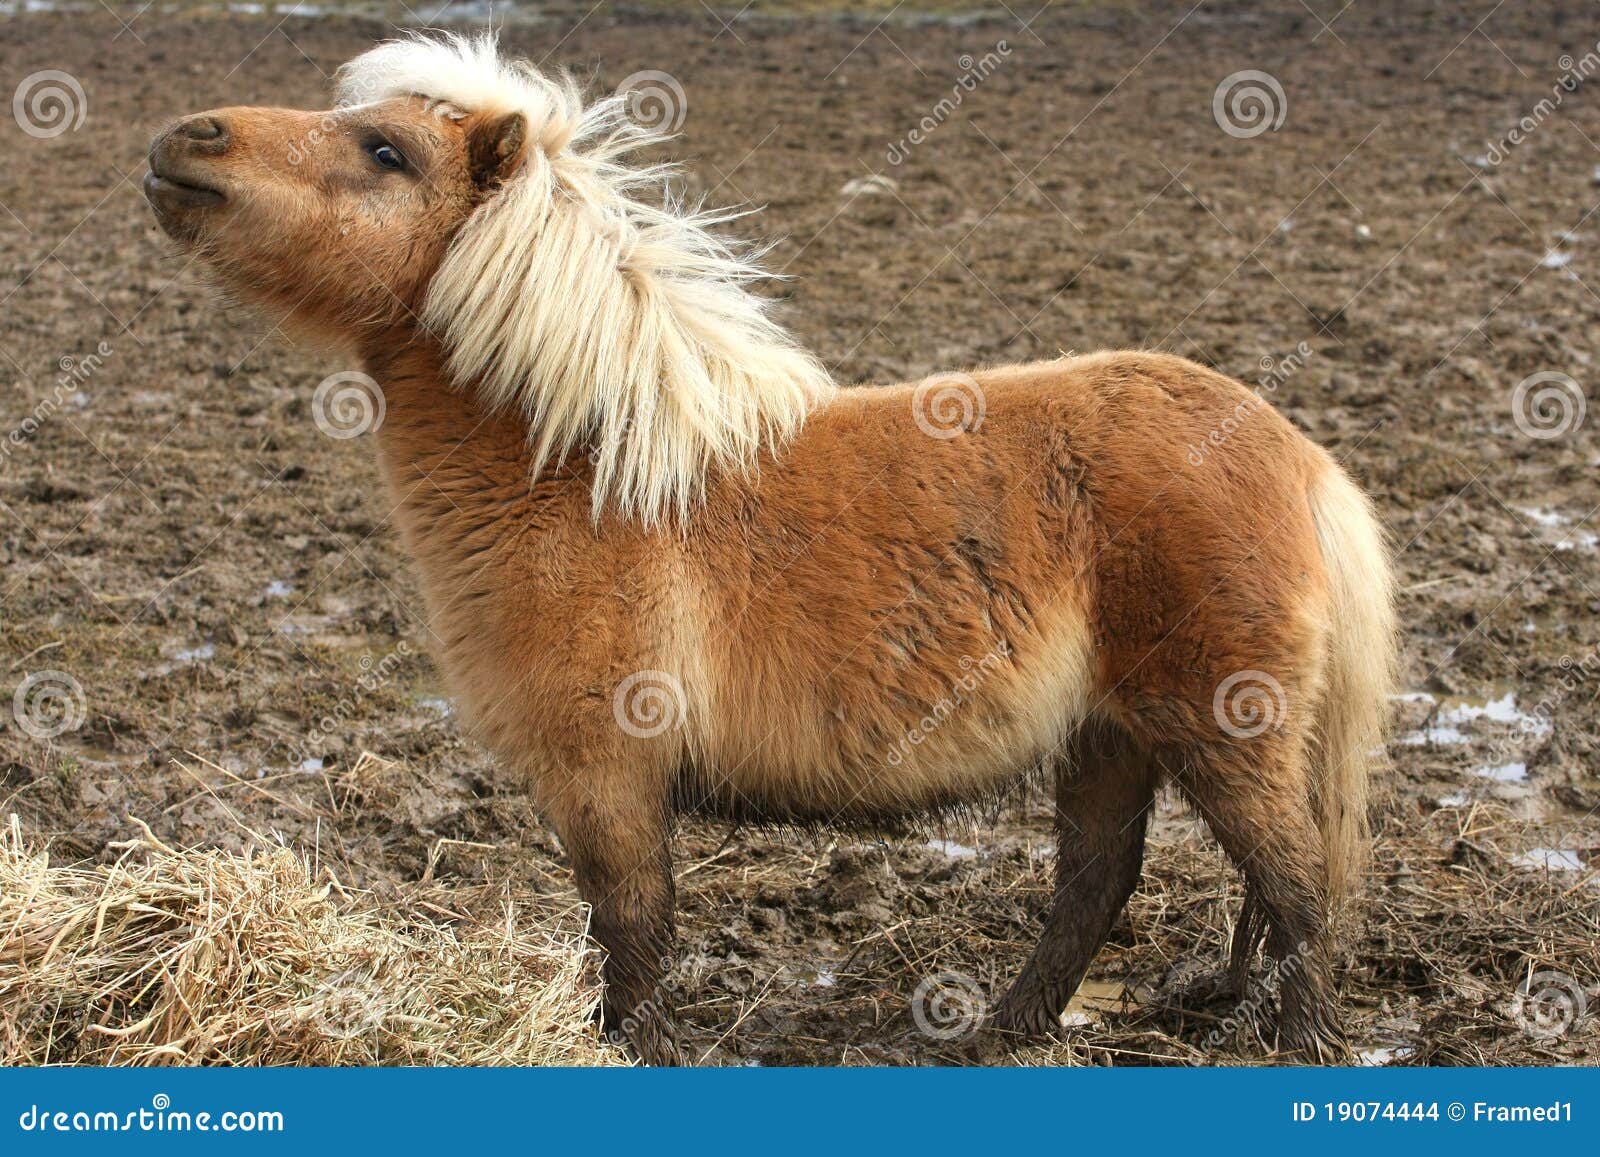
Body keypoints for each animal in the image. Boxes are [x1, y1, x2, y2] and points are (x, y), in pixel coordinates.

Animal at [144, 33, 1396, 1066]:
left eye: (386, 150)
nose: (184, 138)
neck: (583, 471)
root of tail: (1294, 454)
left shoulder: (605, 774)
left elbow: (633, 928)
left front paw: (635, 1051)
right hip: (1108, 737)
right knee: (1099, 885)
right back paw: (1004, 1031)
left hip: (1219, 729)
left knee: (1295, 884)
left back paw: (1302, 1045)